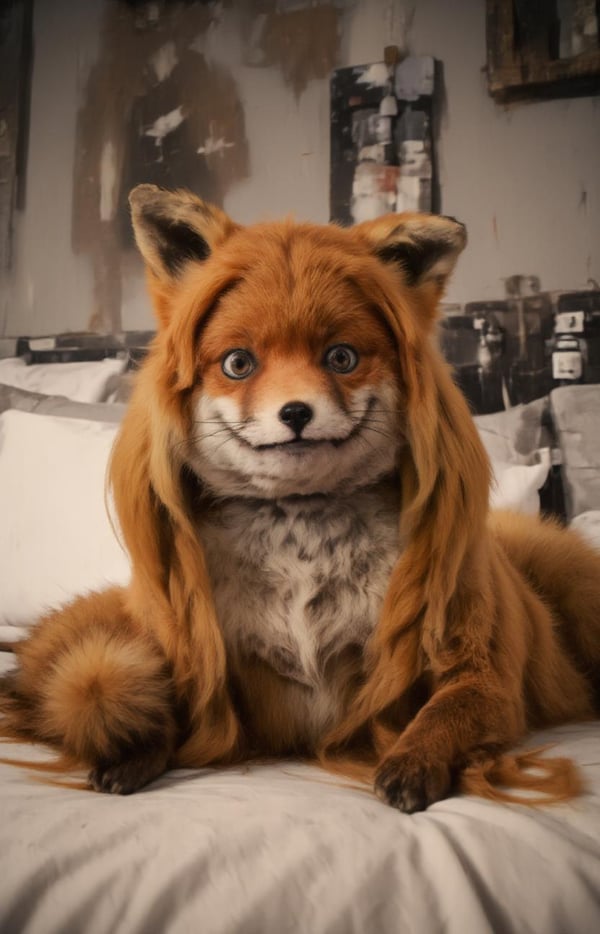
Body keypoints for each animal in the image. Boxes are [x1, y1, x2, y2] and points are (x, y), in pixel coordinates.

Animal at [1, 185, 599, 811]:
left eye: (342, 357)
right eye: (238, 362)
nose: (295, 413)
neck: (302, 550)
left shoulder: (482, 668)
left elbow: (443, 714)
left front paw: (413, 760)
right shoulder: (222, 673)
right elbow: (173, 710)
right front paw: (136, 749)